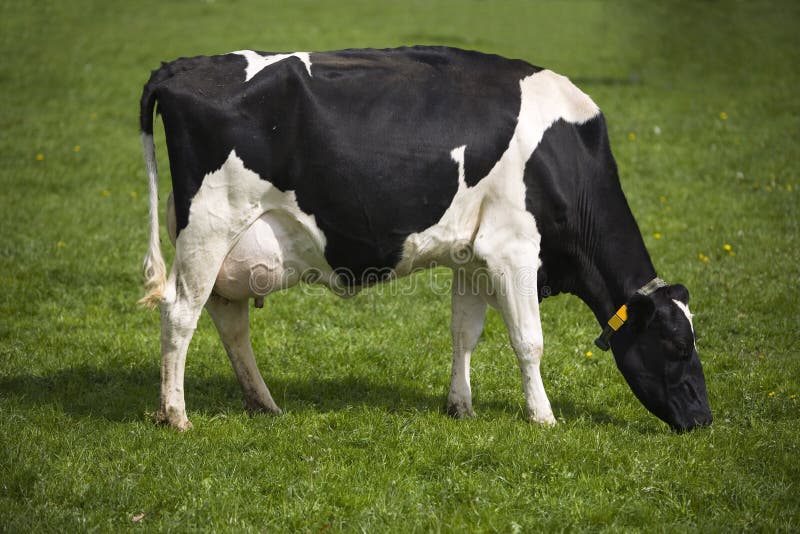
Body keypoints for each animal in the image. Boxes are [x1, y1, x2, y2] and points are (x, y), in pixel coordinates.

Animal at [138, 46, 712, 432]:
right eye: (676, 345)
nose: (704, 418)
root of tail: (179, 67)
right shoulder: (514, 249)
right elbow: (529, 340)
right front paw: (544, 417)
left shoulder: (474, 255)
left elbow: (464, 333)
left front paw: (461, 406)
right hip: (210, 226)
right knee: (179, 314)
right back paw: (176, 414)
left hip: (222, 242)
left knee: (228, 319)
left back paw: (264, 404)